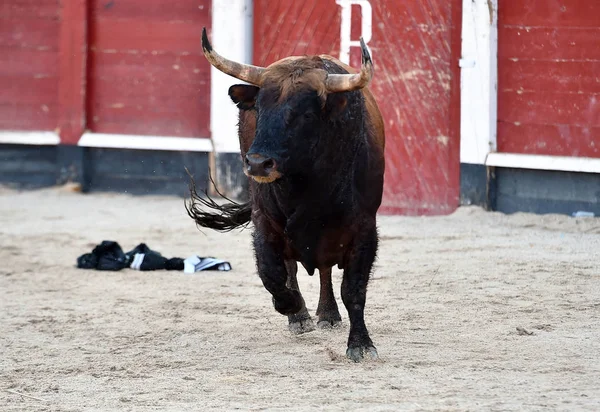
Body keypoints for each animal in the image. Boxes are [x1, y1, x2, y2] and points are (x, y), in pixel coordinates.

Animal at [186, 28, 384, 360]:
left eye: (306, 115)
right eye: (259, 109)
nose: (257, 163)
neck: (308, 182)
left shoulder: (364, 226)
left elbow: (354, 289)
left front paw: (360, 343)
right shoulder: (265, 221)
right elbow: (273, 274)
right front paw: (293, 307)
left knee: (326, 269)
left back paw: (328, 313)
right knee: (293, 267)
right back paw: (301, 316)